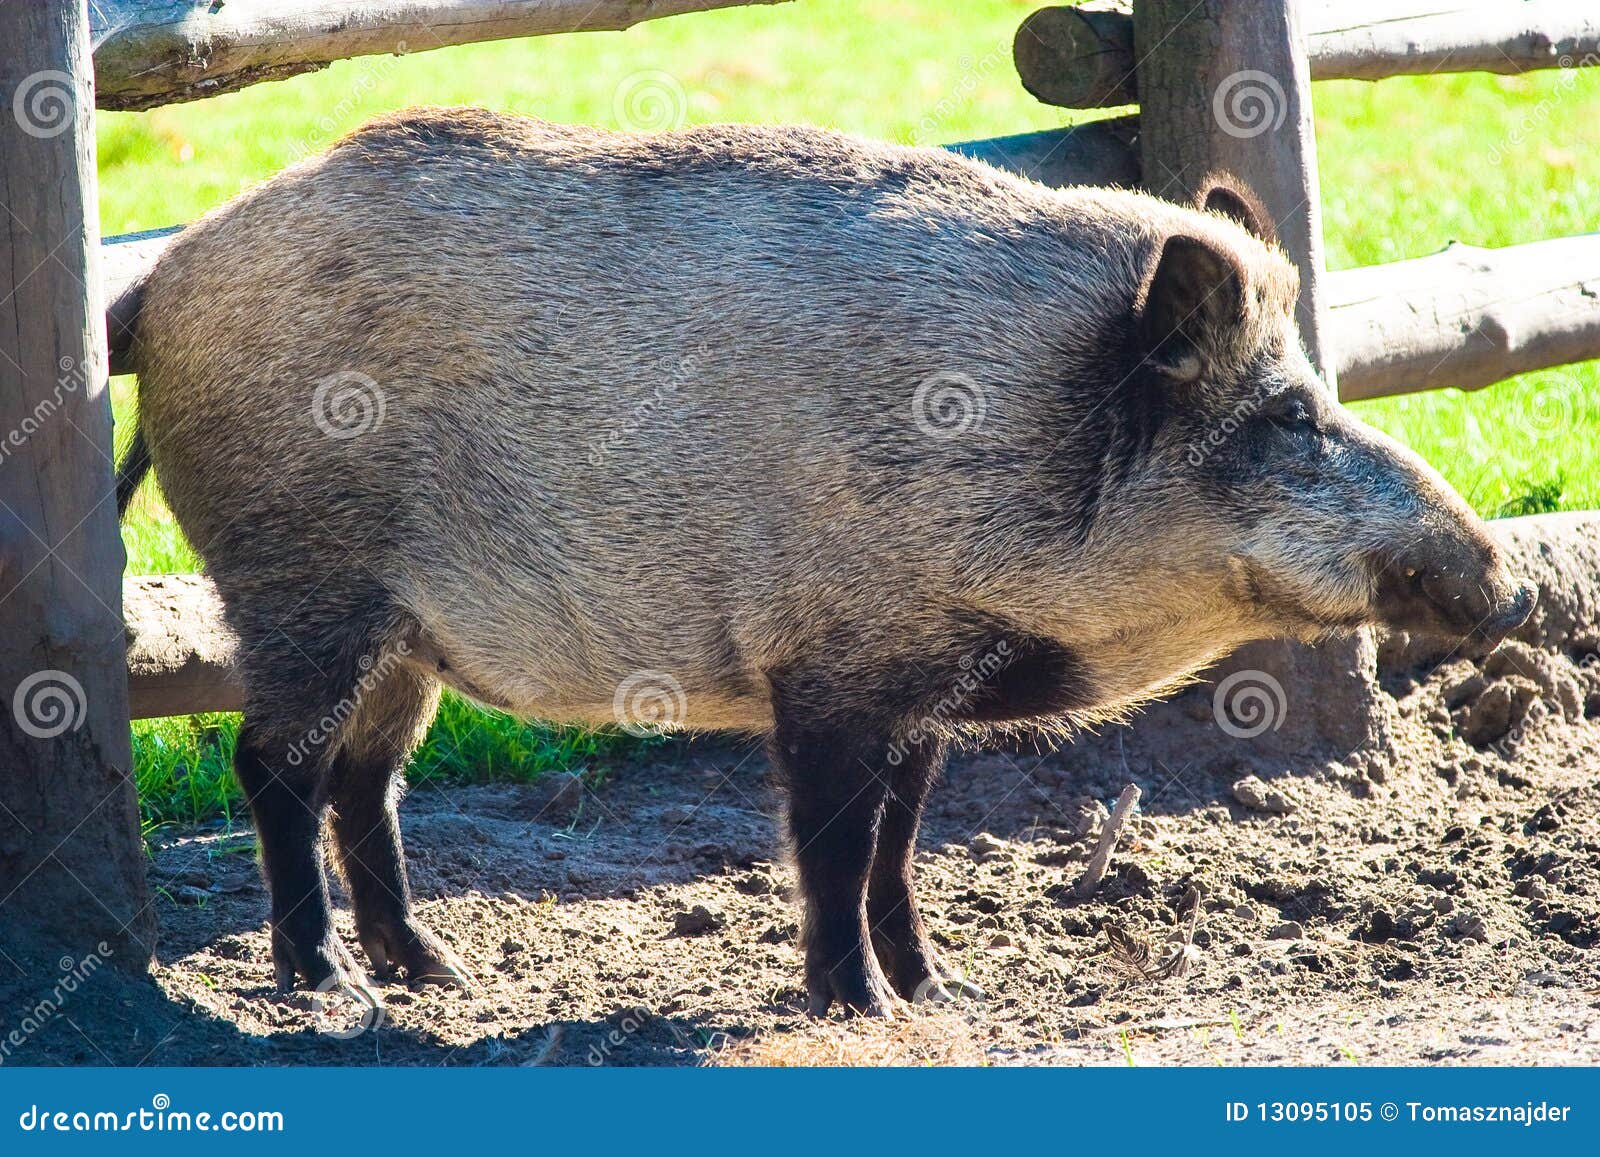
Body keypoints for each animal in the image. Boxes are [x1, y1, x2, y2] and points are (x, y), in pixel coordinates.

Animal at [115, 108, 1534, 1017]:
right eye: (1288, 416)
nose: (1510, 584)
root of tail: (159, 282)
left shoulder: (921, 686)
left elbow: (903, 841)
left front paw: (942, 989)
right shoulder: (830, 667)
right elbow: (837, 844)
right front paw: (860, 1008)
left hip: (406, 632)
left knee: (369, 779)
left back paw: (438, 974)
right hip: (301, 579)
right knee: (272, 760)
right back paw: (328, 984)